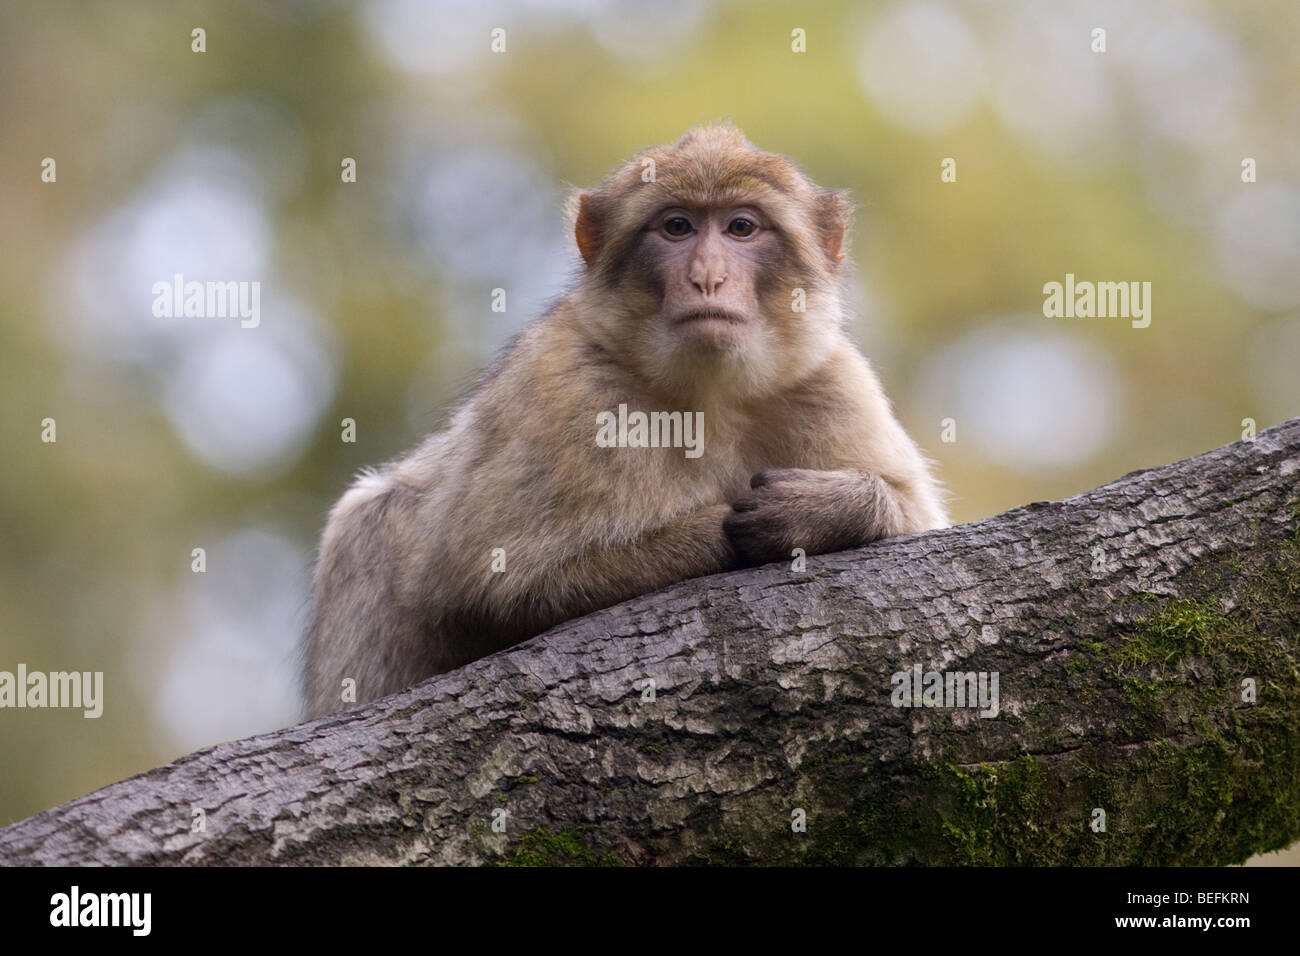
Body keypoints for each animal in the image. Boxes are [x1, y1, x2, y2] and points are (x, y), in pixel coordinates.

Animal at [301, 123, 948, 719]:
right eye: (677, 227)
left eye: (741, 227)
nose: (707, 277)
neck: (710, 396)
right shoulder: (562, 384)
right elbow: (490, 588)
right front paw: (716, 530)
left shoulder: (832, 381)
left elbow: (918, 521)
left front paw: (826, 510)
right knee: (370, 517)